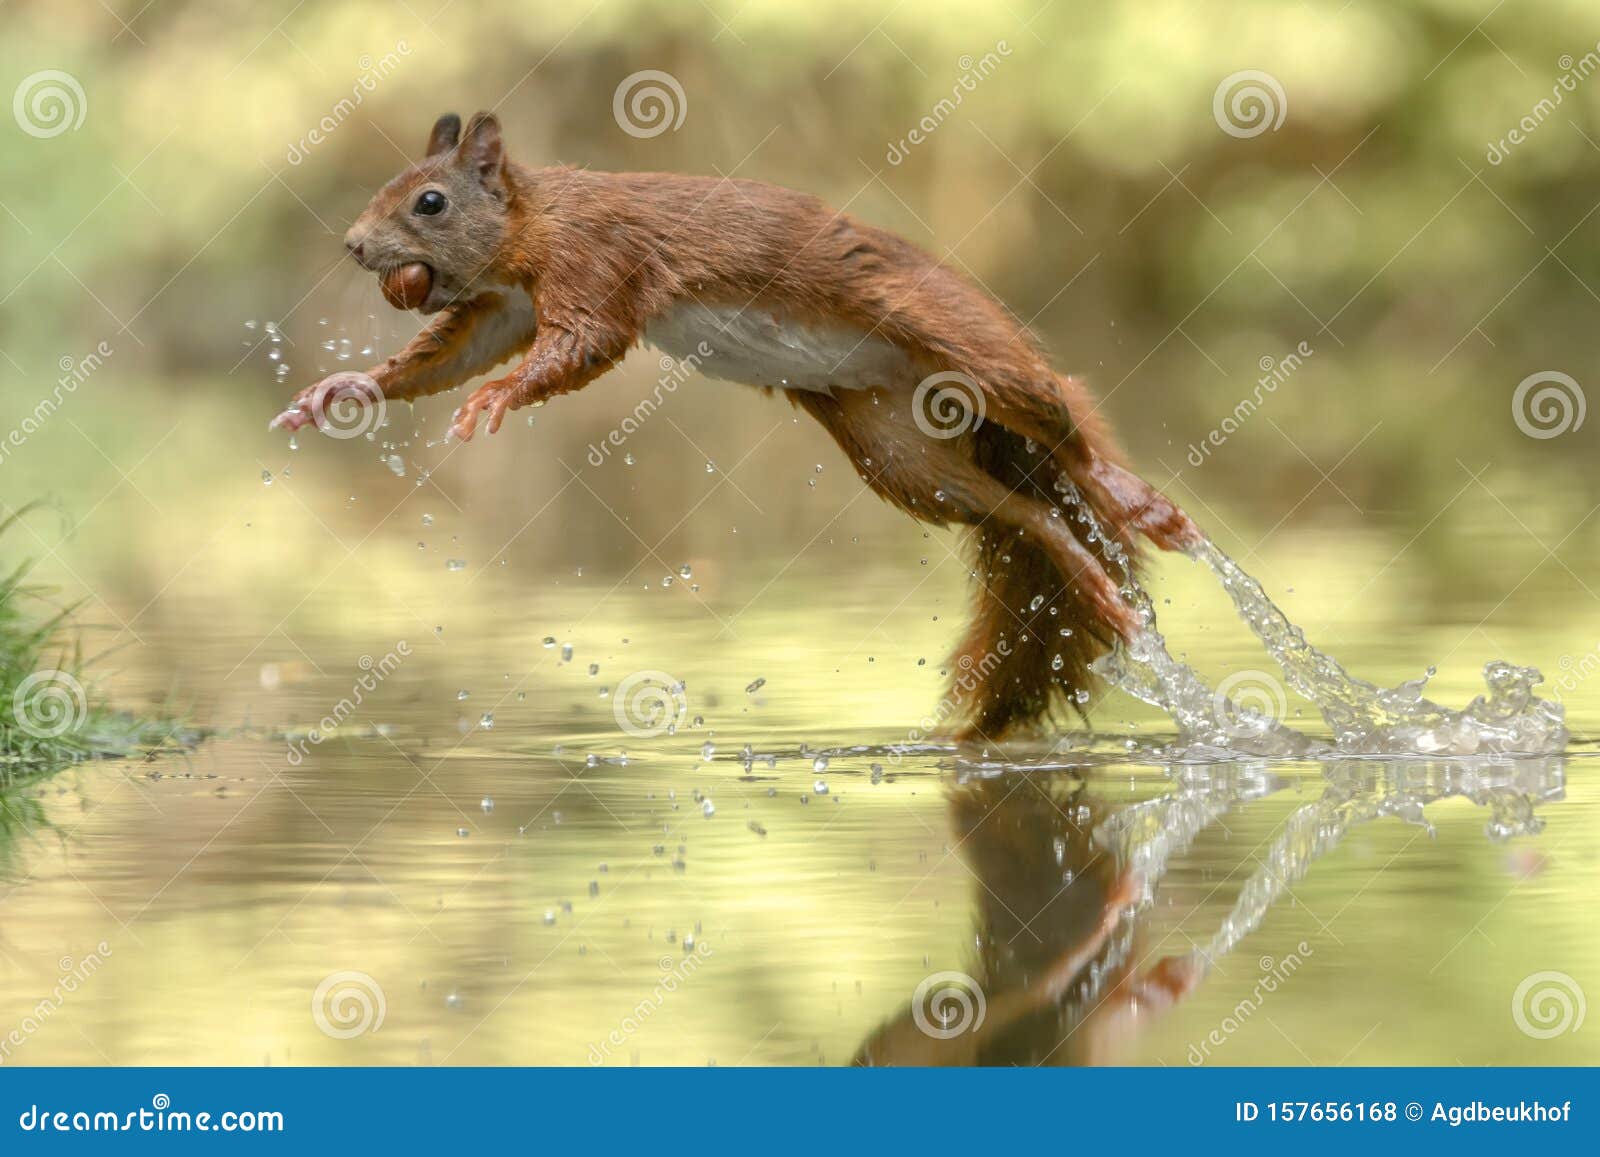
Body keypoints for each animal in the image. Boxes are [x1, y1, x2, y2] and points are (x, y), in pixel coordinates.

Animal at [273, 110, 1201, 740]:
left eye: (430, 201)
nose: (354, 246)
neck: (537, 216)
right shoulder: (506, 304)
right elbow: (461, 347)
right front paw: (345, 390)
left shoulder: (595, 262)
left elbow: (583, 343)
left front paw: (495, 398)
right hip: (902, 453)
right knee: (1032, 512)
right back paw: (1094, 581)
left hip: (966, 346)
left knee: (1062, 419)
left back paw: (1139, 502)